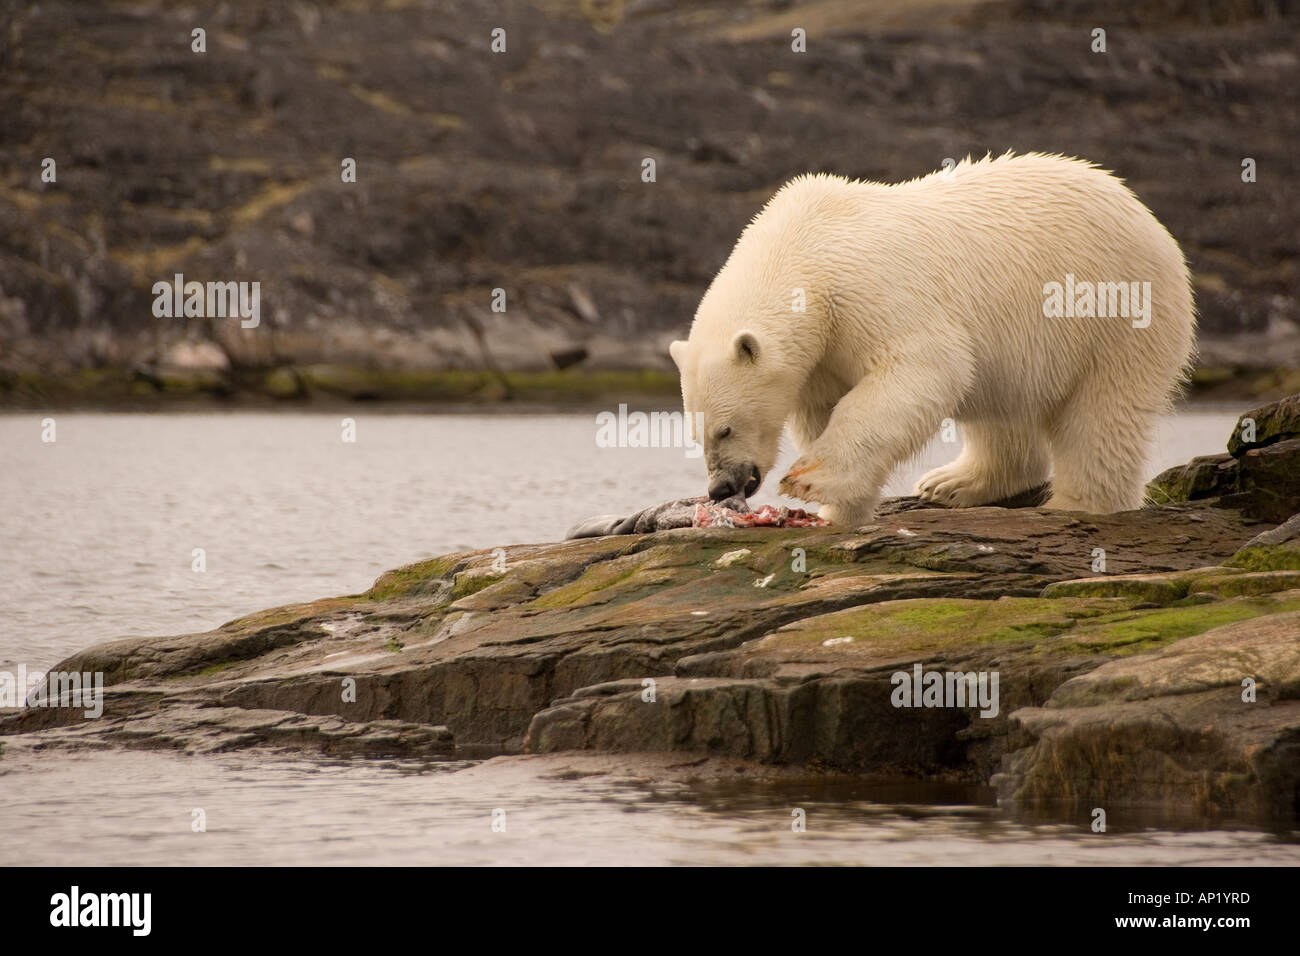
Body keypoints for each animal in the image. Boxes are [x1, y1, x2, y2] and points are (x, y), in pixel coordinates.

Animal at [669, 152, 1197, 527]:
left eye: (725, 429)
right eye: (696, 432)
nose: (721, 488)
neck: (805, 250)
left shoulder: (870, 290)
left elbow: (923, 369)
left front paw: (812, 482)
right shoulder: (821, 355)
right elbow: (822, 406)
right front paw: (840, 509)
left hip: (1115, 311)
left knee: (1102, 415)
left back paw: (1073, 504)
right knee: (1002, 407)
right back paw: (953, 483)